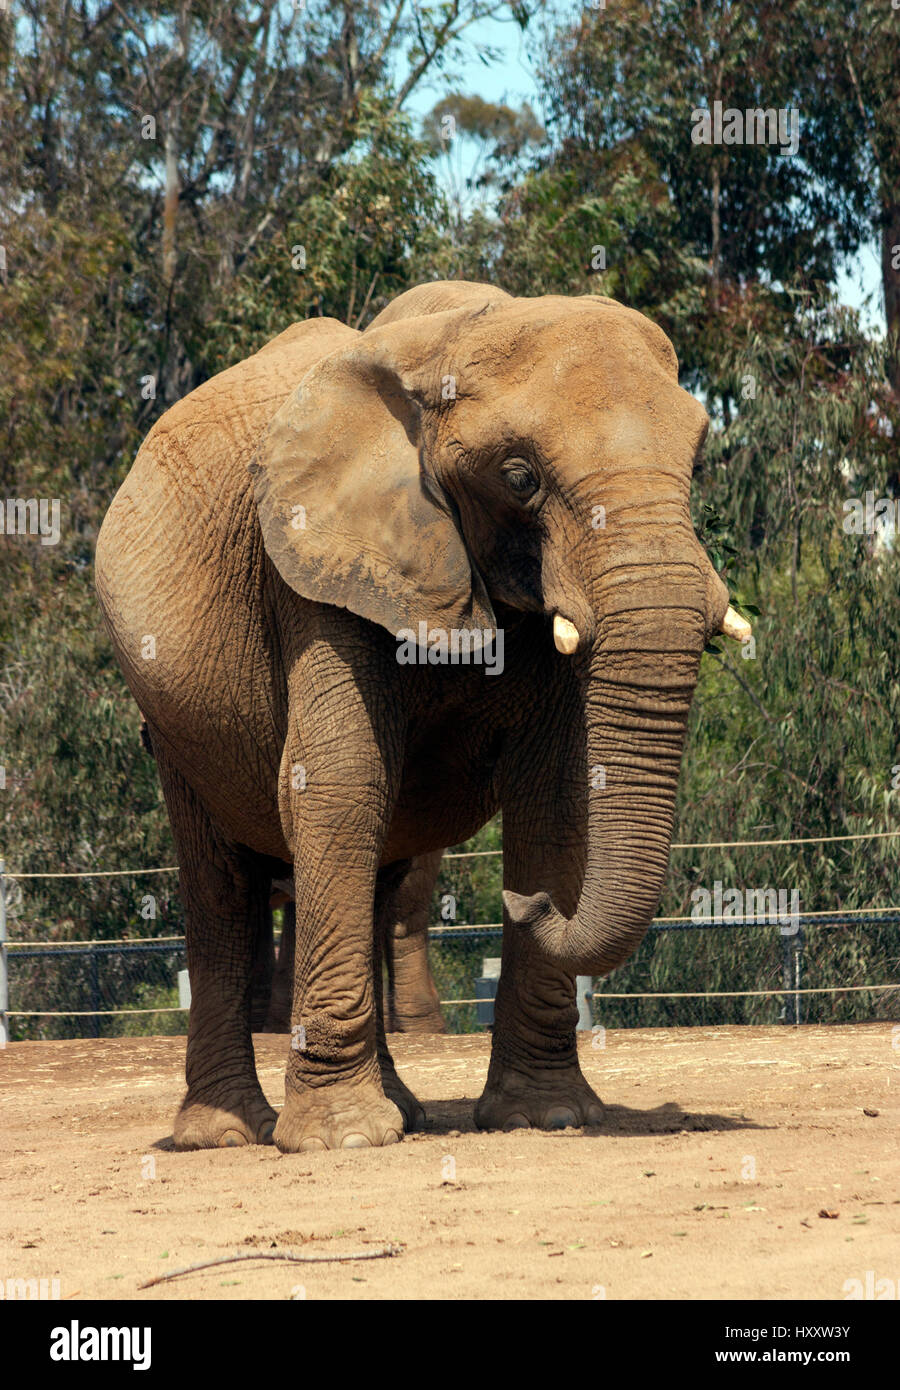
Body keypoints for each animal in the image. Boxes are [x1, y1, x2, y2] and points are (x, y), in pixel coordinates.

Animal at [94, 279, 749, 1151]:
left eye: (699, 461)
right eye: (520, 476)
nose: (529, 904)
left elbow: (554, 797)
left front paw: (546, 1117)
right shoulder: (314, 563)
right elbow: (339, 782)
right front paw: (340, 1140)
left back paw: (398, 1110)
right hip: (170, 719)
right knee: (220, 890)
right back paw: (225, 1134)